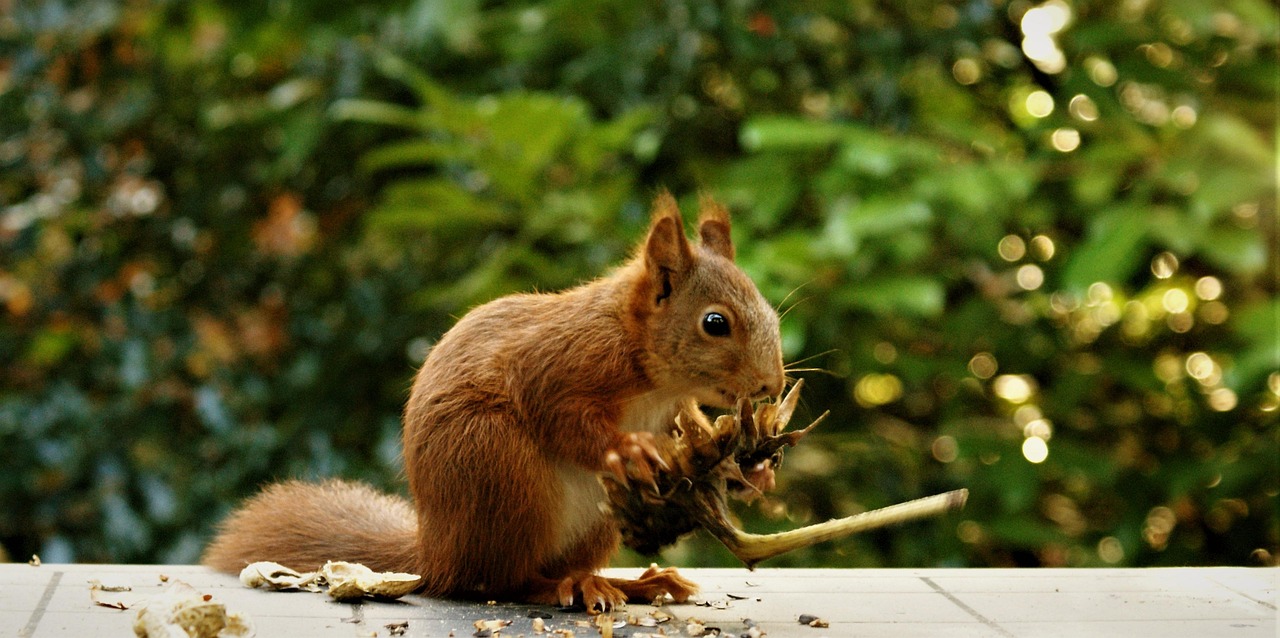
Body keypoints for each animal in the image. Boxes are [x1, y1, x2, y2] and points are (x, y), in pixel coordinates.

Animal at [202, 192, 786, 612]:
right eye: (715, 323)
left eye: (770, 312)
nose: (772, 386)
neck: (653, 373)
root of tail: (435, 551)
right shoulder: (557, 363)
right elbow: (561, 417)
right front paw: (631, 449)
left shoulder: (674, 409)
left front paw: (753, 471)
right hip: (499, 468)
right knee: (497, 580)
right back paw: (562, 588)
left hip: (582, 514)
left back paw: (623, 582)